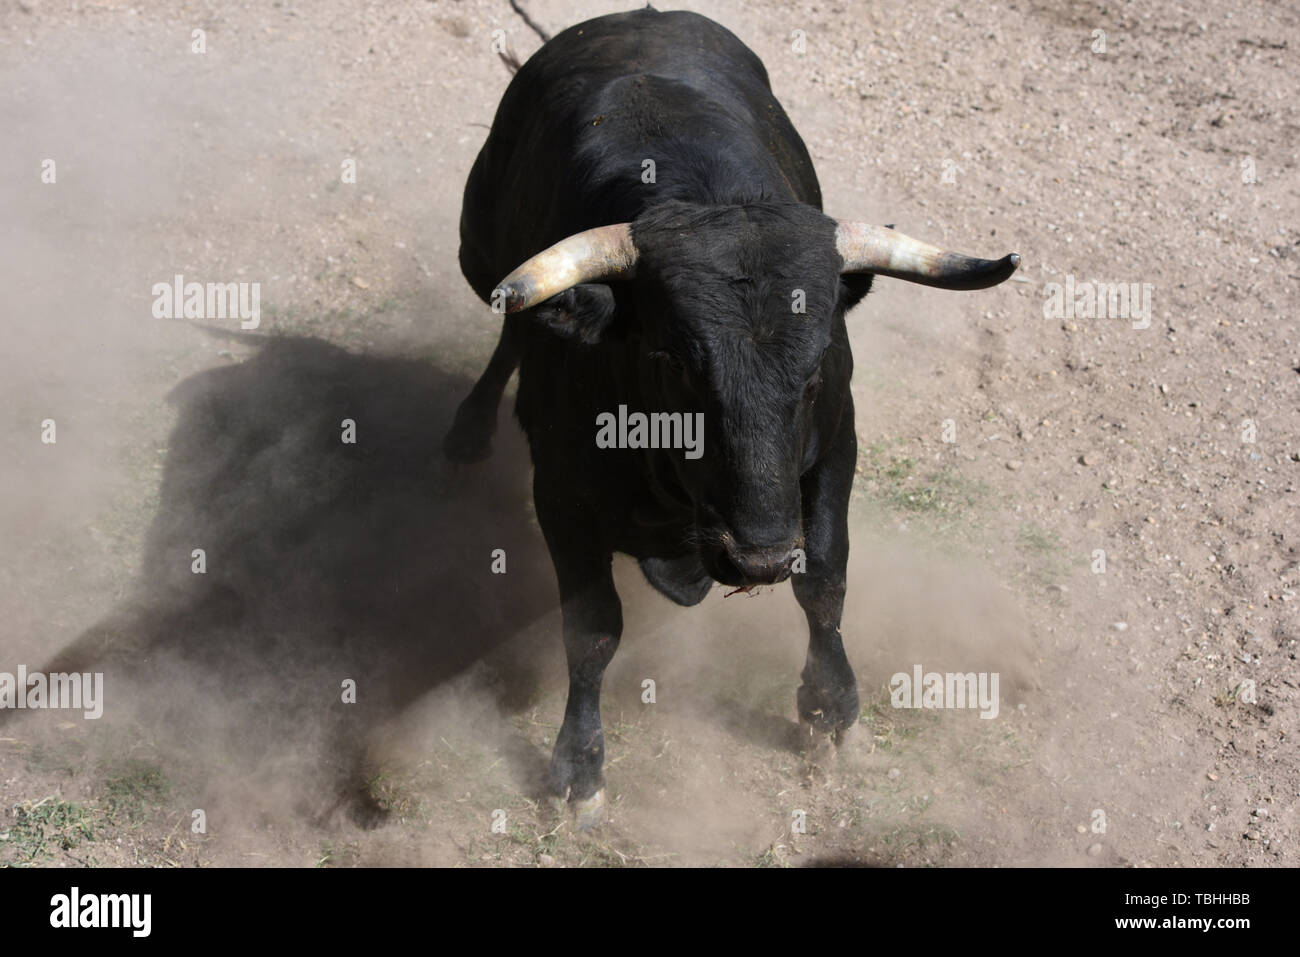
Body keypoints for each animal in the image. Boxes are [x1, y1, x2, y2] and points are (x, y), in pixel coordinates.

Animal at [444, 7, 1018, 827]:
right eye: (676, 362)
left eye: (815, 367)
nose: (760, 560)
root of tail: (636, 15)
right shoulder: (560, 494)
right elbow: (591, 630)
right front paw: (579, 767)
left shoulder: (835, 447)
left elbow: (826, 579)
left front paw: (830, 711)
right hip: (479, 252)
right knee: (508, 325)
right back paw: (468, 426)